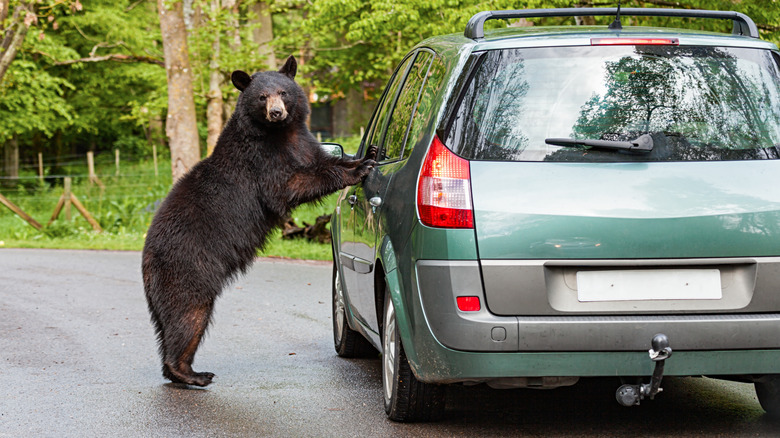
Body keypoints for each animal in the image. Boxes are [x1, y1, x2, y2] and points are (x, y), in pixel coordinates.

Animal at [142, 56, 375, 387]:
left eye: (283, 91)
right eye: (262, 97)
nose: (277, 112)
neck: (279, 134)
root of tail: (146, 257)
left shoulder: (304, 143)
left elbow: (322, 160)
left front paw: (364, 156)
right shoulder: (261, 160)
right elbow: (288, 185)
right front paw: (359, 169)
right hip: (187, 267)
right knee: (188, 315)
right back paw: (191, 373)